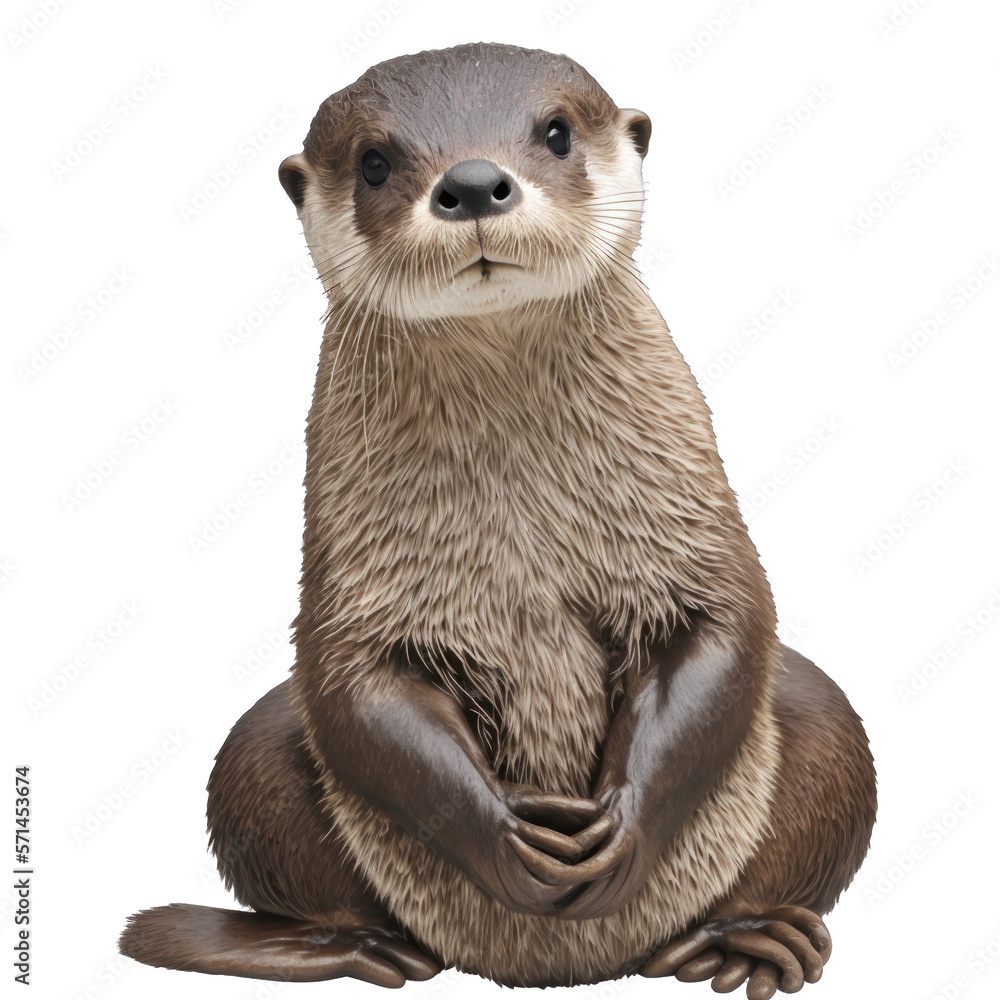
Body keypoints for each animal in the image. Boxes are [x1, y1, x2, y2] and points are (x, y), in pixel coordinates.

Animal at [119, 42, 876, 1000]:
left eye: (554, 132)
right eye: (374, 161)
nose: (474, 182)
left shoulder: (693, 534)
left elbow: (732, 626)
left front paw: (623, 826)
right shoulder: (355, 587)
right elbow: (353, 689)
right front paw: (506, 840)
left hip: (817, 726)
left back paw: (742, 939)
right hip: (260, 758)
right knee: (272, 791)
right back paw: (337, 948)